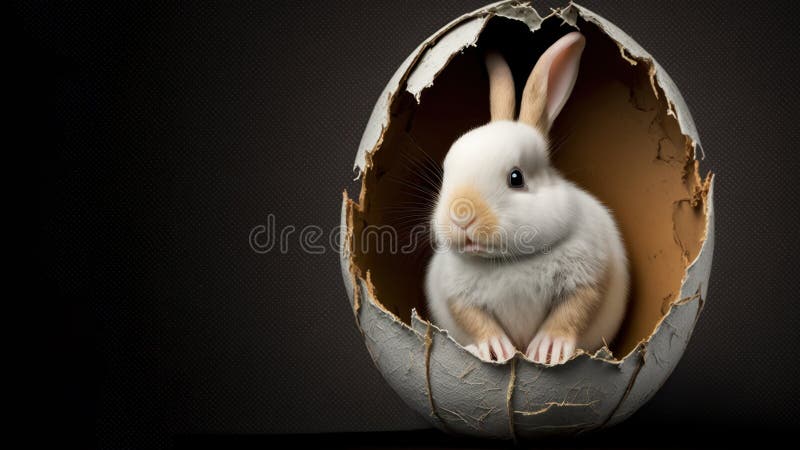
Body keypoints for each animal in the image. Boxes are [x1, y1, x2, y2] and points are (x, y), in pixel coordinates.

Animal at [424, 32, 629, 365]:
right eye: (446, 172)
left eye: (516, 178)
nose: (460, 215)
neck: (508, 260)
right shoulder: (456, 295)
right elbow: (476, 320)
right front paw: (496, 349)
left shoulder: (589, 278)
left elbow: (572, 311)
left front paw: (547, 350)